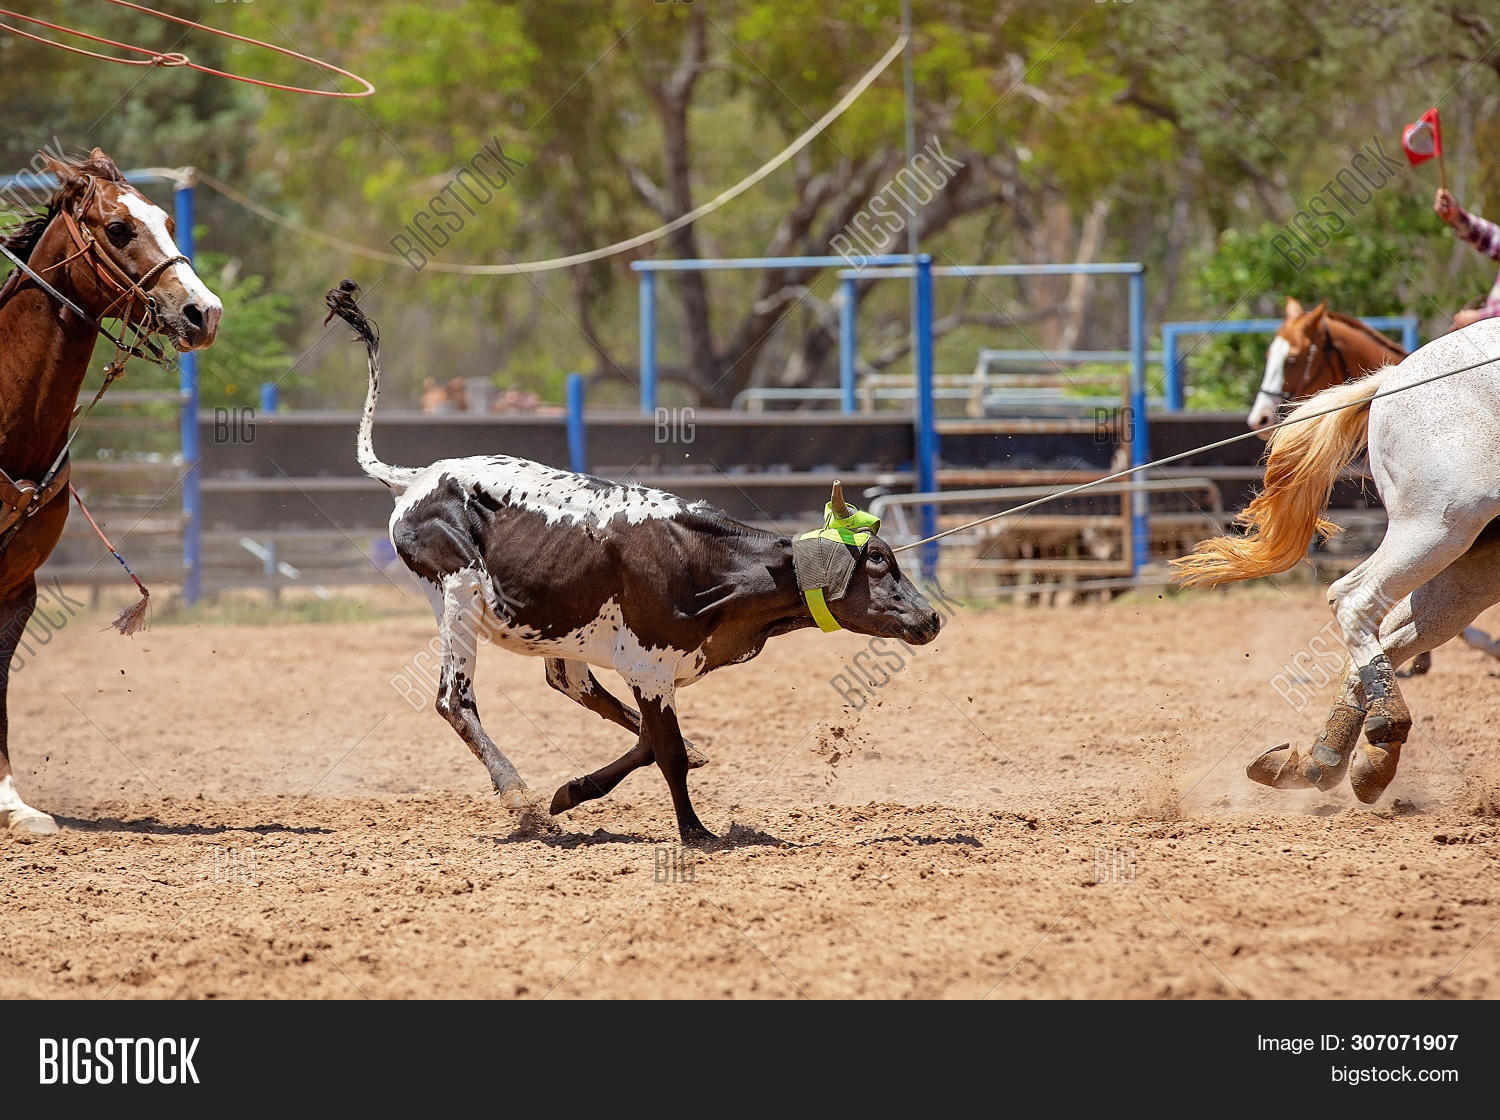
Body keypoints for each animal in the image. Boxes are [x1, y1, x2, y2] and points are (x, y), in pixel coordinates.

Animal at [324, 281, 944, 845]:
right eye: (879, 560)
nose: (932, 617)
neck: (704, 564)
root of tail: (418, 478)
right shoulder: (649, 665)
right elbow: (663, 751)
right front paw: (695, 830)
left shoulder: (650, 670)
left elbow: (651, 742)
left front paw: (576, 790)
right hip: (458, 595)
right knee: (455, 700)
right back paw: (518, 796)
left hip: (560, 631)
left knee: (569, 683)